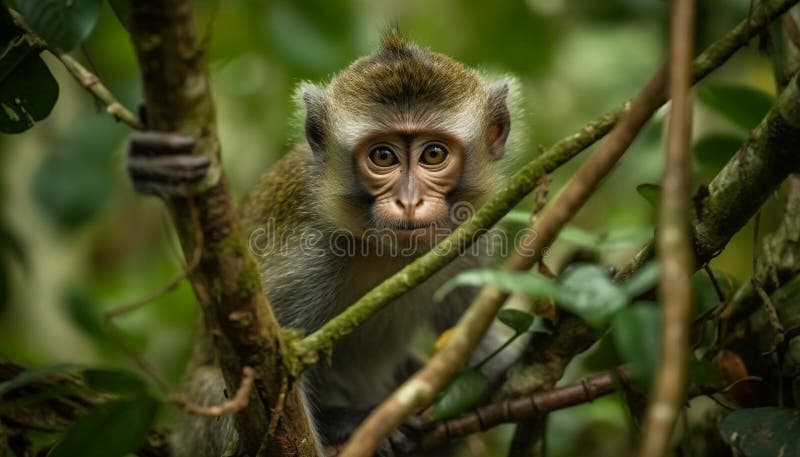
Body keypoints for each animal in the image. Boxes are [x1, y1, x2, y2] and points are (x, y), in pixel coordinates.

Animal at [171, 29, 521, 456]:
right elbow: (272, 378)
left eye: (434, 154)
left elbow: (466, 326)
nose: (409, 201)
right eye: (383, 156)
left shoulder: (471, 232)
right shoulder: (305, 260)